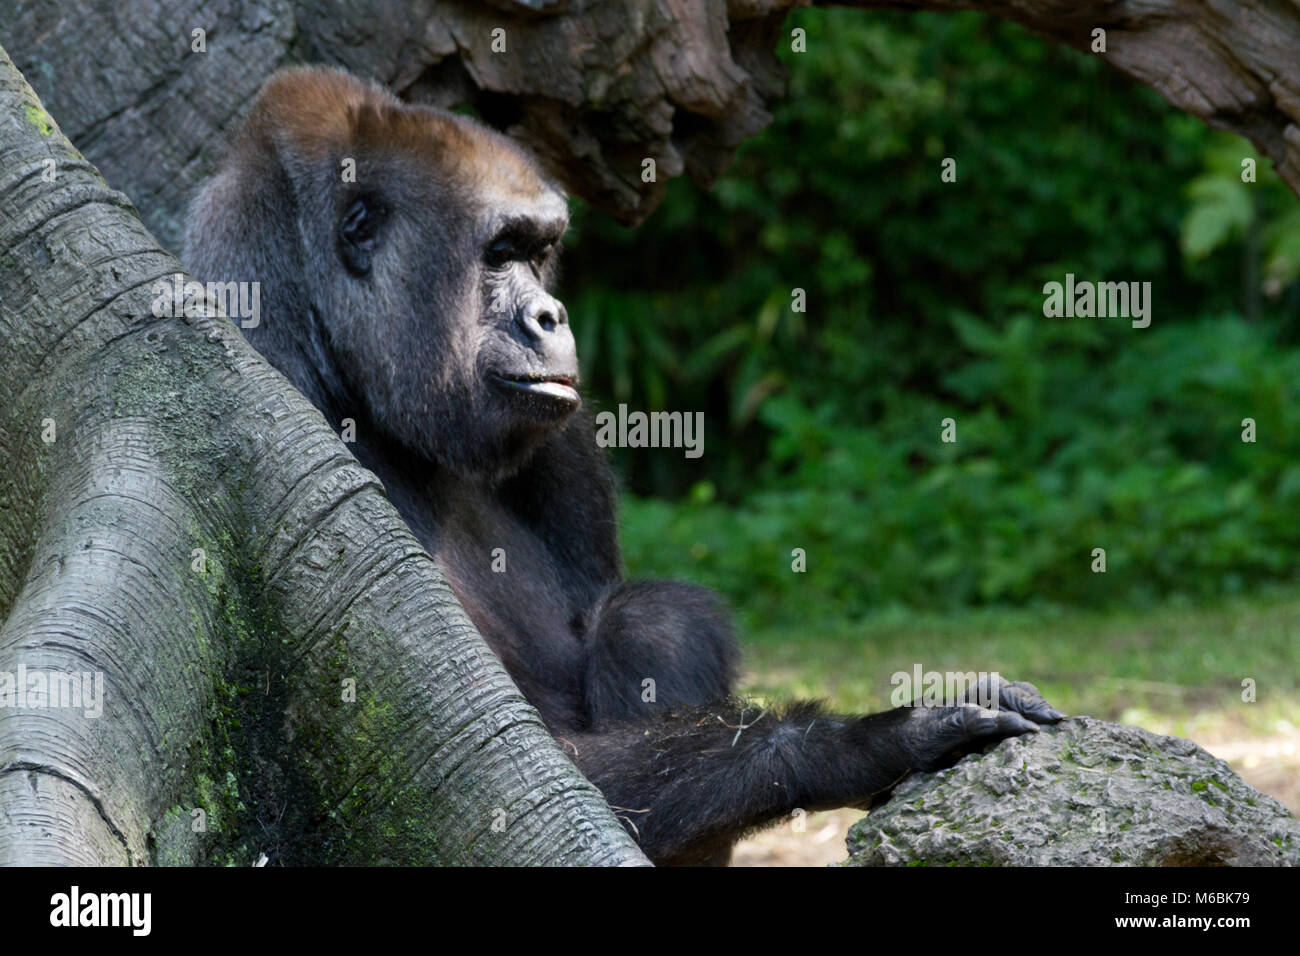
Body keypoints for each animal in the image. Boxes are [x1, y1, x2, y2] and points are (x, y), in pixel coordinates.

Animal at [183, 66, 1063, 866]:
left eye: (542, 252)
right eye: (500, 252)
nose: (553, 315)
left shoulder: (562, 427)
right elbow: (485, 774)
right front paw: (863, 743)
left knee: (650, 615)